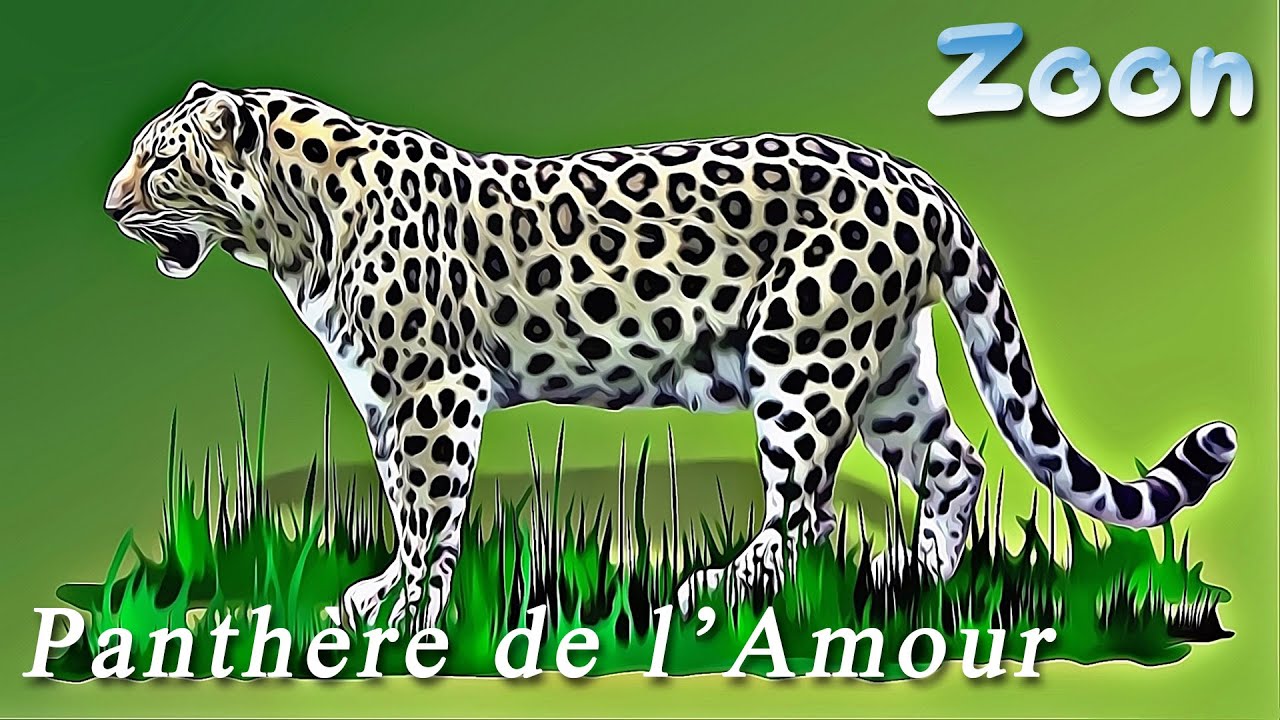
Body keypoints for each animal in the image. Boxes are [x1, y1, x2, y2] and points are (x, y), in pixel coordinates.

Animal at [106, 82, 1237, 630]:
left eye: (160, 165)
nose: (114, 207)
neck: (291, 226)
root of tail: (915, 178)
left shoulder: (433, 389)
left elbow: (428, 515)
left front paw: (410, 614)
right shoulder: (392, 399)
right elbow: (401, 502)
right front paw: (380, 596)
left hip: (800, 354)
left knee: (803, 510)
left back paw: (713, 594)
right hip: (885, 370)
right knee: (953, 464)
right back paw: (916, 583)